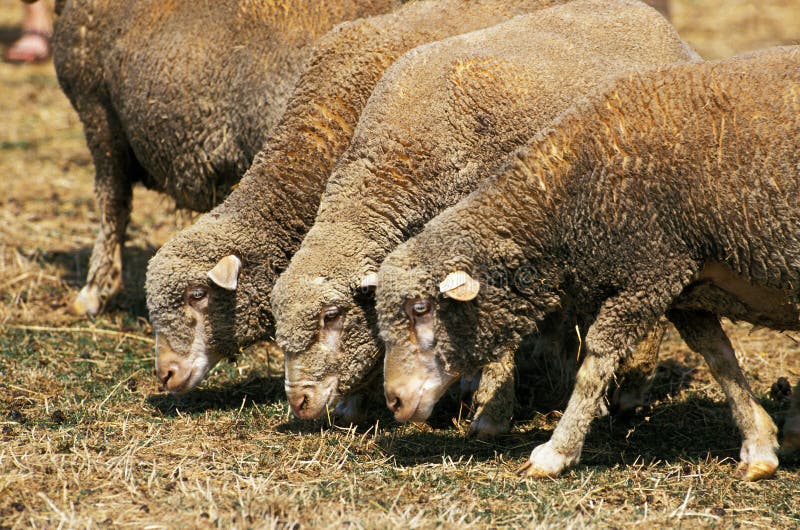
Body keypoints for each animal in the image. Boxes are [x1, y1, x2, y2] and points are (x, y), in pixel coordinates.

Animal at [377, 46, 800, 481]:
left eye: (421, 308)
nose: (393, 401)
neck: (567, 198)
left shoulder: (649, 273)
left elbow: (595, 364)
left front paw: (555, 452)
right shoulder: (683, 282)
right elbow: (720, 358)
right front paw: (760, 444)